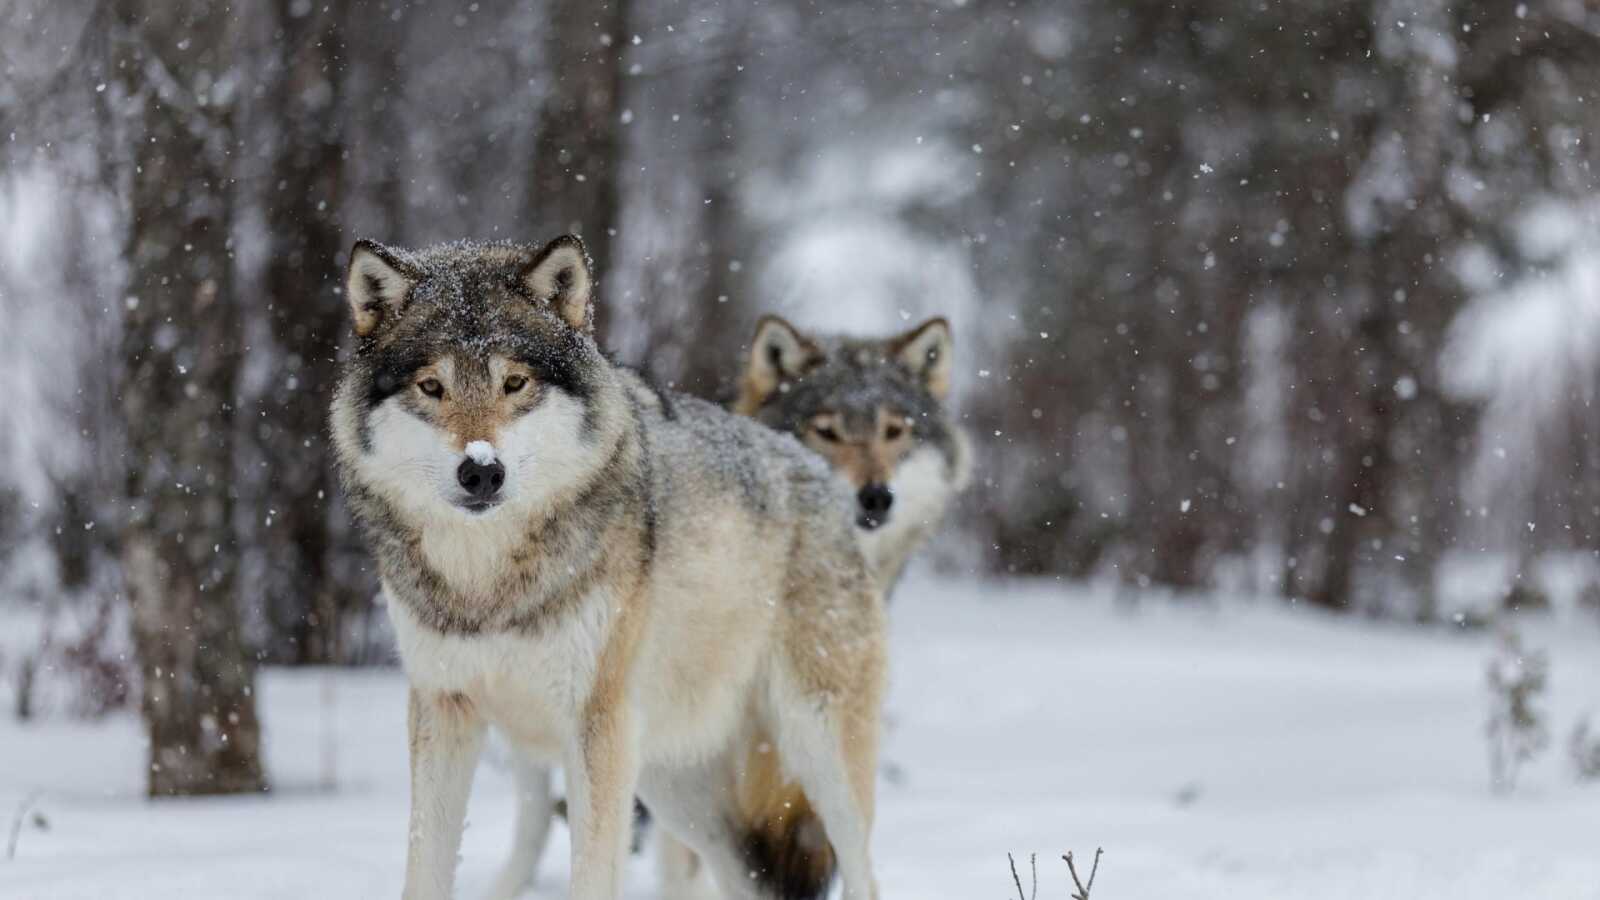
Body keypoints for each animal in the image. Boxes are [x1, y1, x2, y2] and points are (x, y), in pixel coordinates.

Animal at [329, 235, 887, 900]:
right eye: (432, 386)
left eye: (515, 382)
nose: (482, 471)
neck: (487, 584)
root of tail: (820, 472)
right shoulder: (444, 710)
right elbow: (424, 868)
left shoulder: (594, 727)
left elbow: (593, 875)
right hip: (678, 790)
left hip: (816, 751)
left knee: (863, 872)